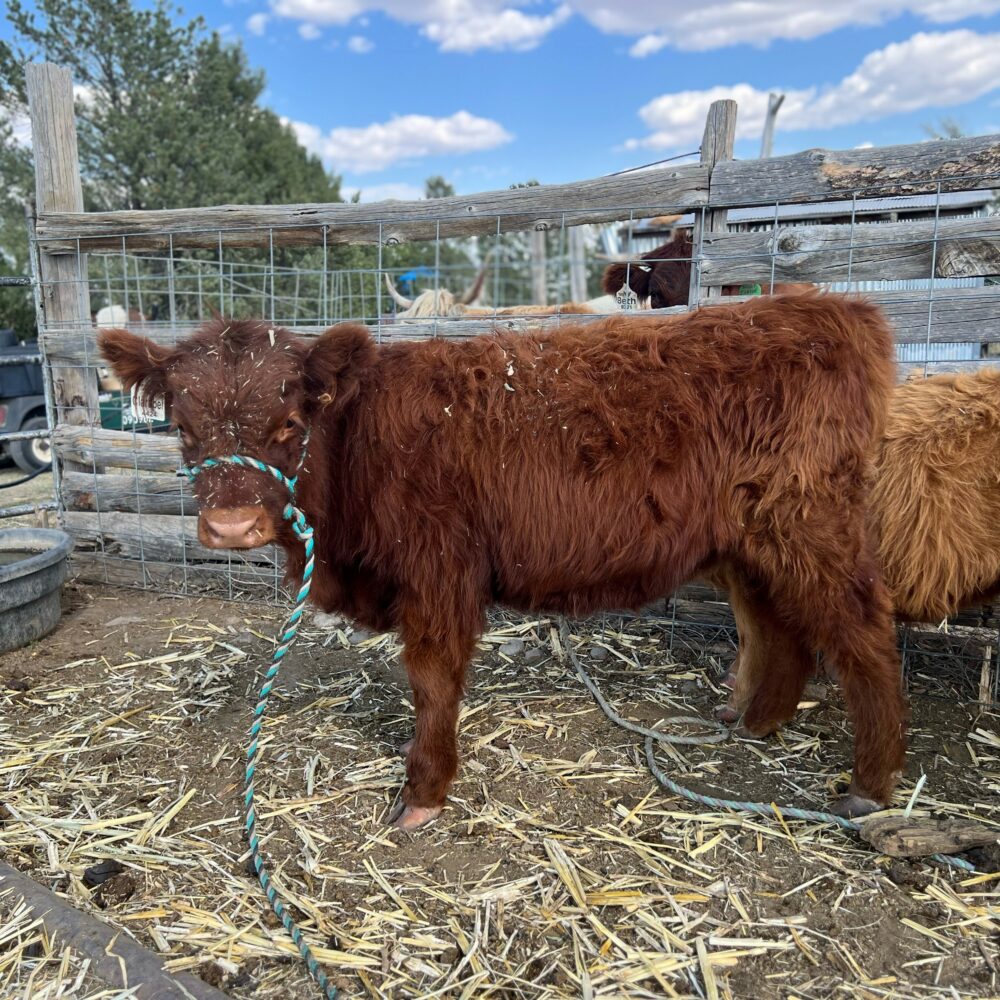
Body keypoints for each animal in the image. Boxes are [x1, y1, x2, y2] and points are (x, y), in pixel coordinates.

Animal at [99, 292, 905, 831]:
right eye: (182, 426)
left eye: (289, 423)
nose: (231, 525)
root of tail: (826, 307)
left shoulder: (439, 571)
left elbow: (431, 680)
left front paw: (422, 794)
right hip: (748, 545)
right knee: (778, 629)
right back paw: (756, 724)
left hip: (810, 527)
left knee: (863, 634)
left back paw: (870, 784)